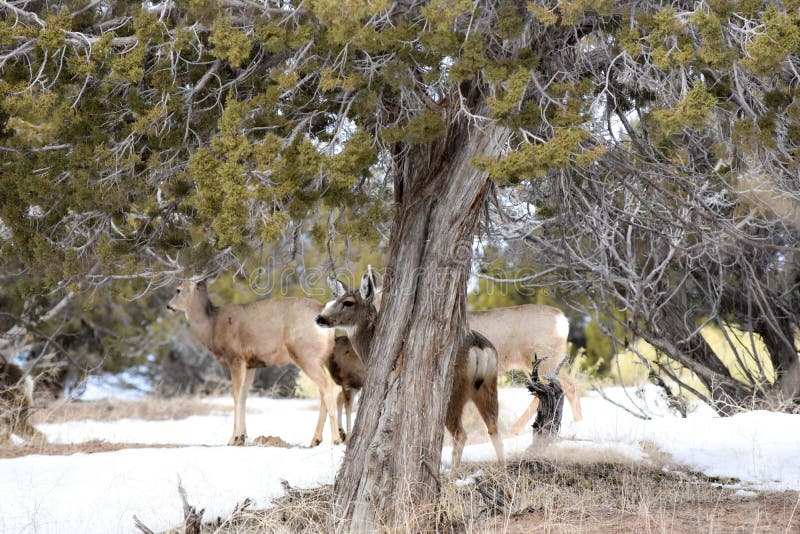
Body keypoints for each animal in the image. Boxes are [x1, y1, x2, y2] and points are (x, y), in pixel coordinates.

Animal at [167, 278, 342, 447]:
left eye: (178, 290)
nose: (169, 306)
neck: (212, 326)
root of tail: (320, 308)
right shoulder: (251, 364)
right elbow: (244, 396)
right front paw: (242, 437)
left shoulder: (235, 358)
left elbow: (236, 395)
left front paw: (233, 438)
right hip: (322, 357)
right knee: (323, 388)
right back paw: (316, 440)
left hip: (304, 354)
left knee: (327, 385)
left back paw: (336, 439)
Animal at [315, 267, 504, 471]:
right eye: (331, 301)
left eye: (348, 302)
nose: (319, 318)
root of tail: (480, 348)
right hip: (489, 386)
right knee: (494, 428)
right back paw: (503, 471)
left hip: (452, 391)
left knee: (461, 435)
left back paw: (450, 478)